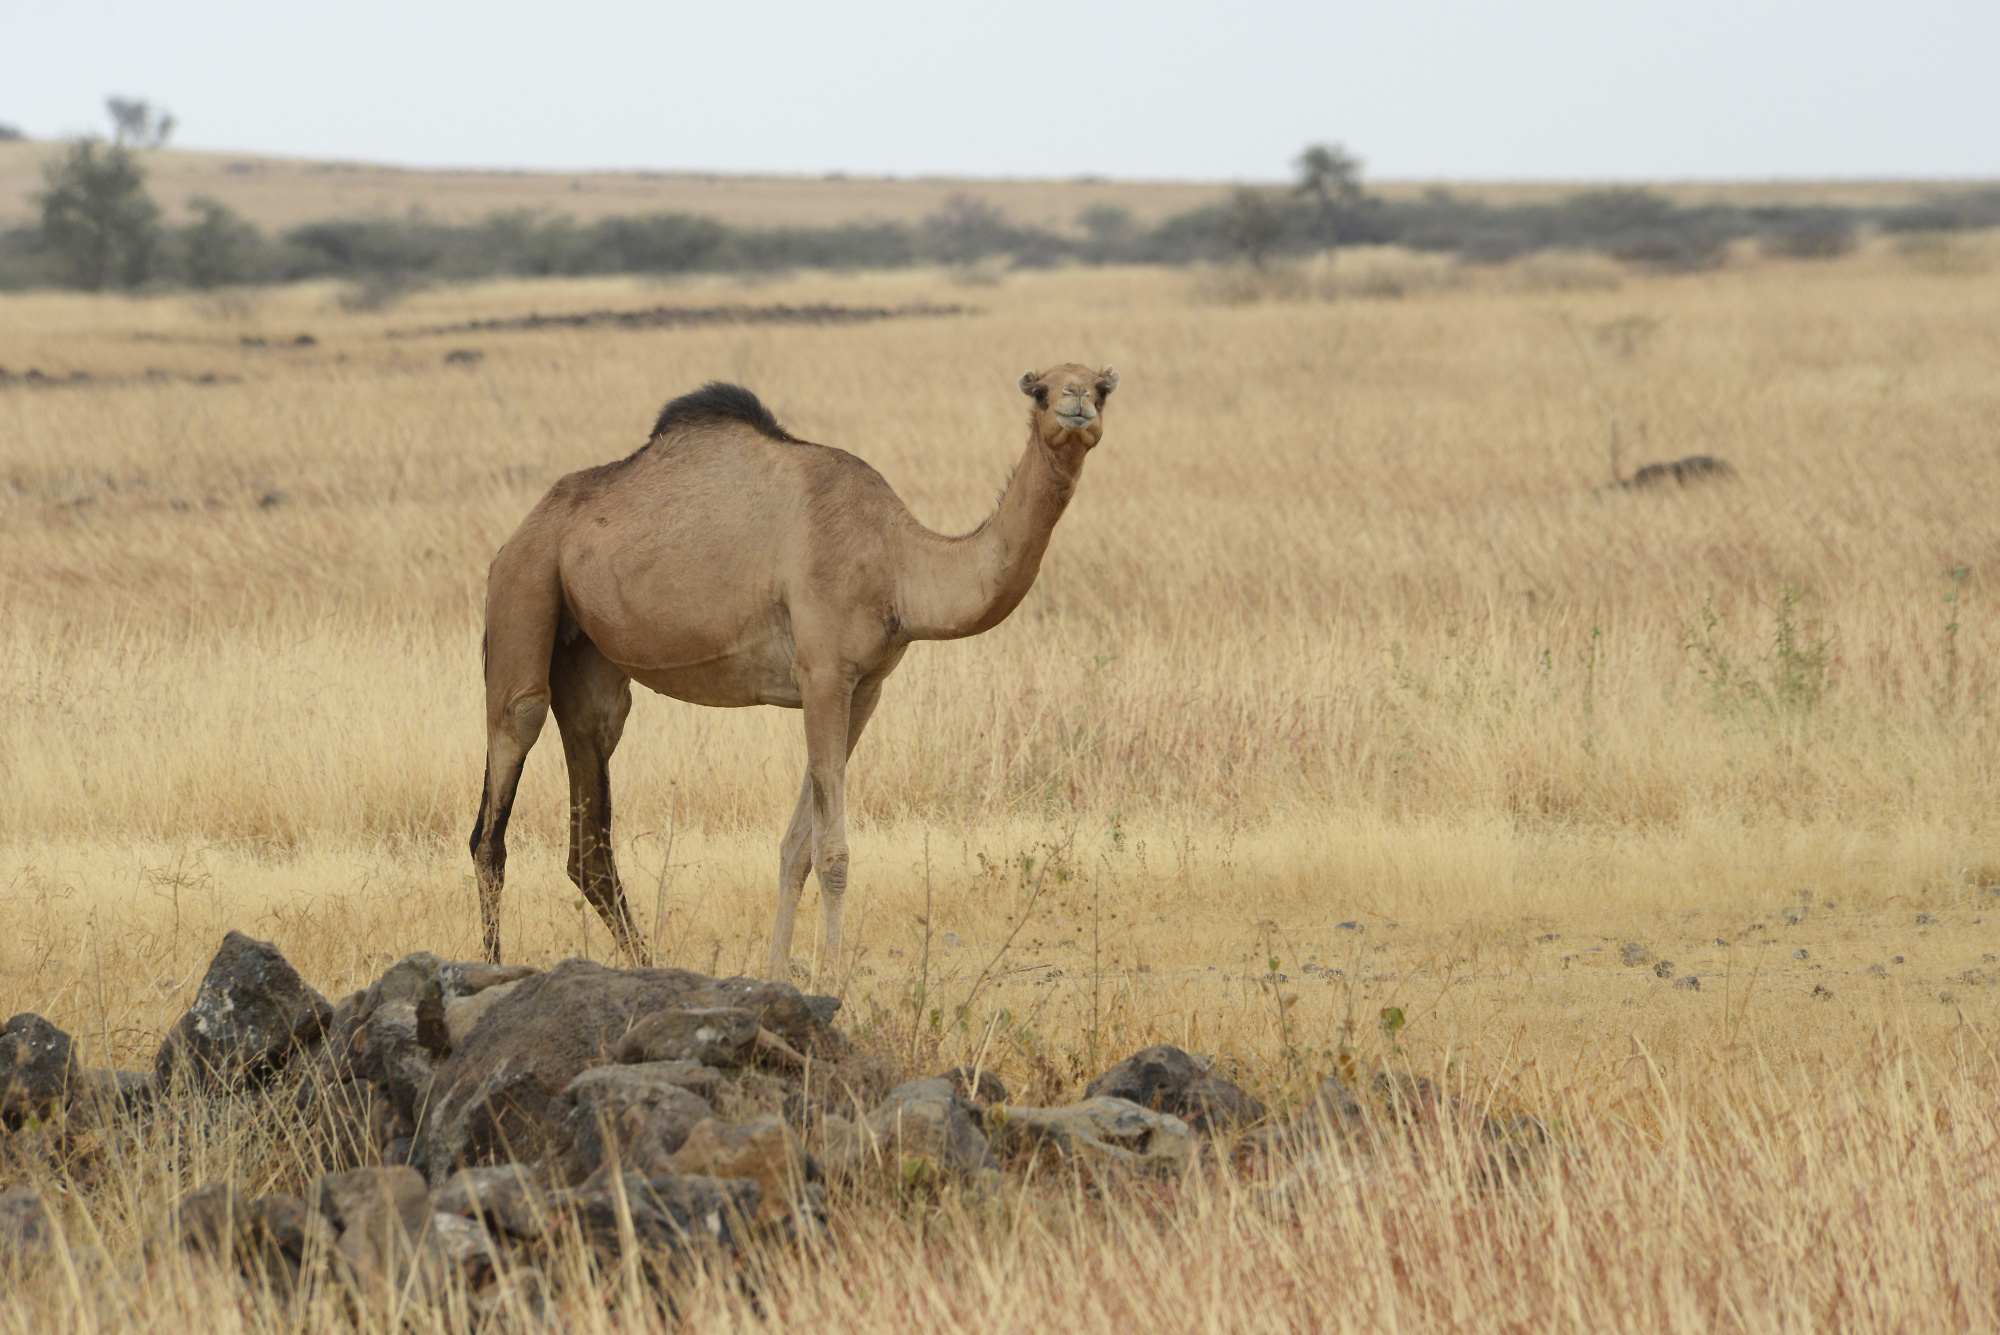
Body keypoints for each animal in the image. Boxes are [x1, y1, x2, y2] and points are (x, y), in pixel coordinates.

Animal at [469, 363, 1118, 976]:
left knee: (590, 822)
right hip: (524, 588)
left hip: (589, 658)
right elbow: (832, 850)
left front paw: (779, 969)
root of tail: (518, 535)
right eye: (1041, 389)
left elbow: (798, 846)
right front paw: (835, 977)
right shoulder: (823, 672)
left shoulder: (864, 687)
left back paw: (647, 965)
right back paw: (496, 964)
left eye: (1101, 388)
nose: (1076, 404)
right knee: (498, 798)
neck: (899, 564)